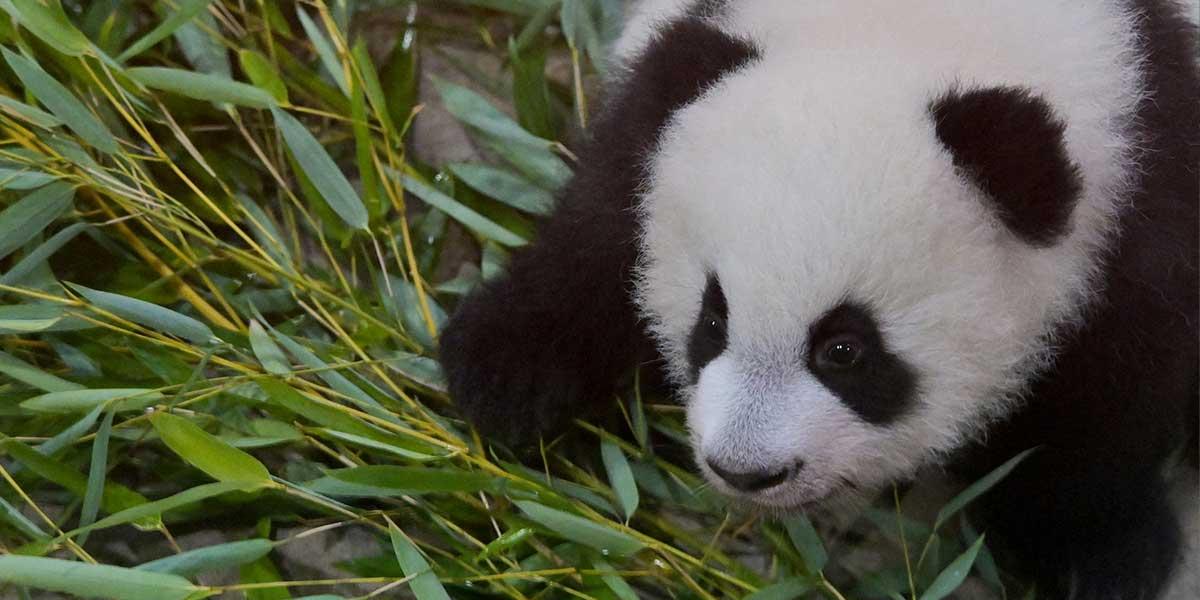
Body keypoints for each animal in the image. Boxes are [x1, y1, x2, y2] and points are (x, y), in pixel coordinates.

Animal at [438, 1, 1200, 598]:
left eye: (845, 350)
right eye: (713, 319)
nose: (747, 471)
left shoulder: (1151, 186)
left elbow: (1111, 387)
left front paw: (1092, 549)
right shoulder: (679, 65)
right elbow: (609, 209)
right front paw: (504, 366)